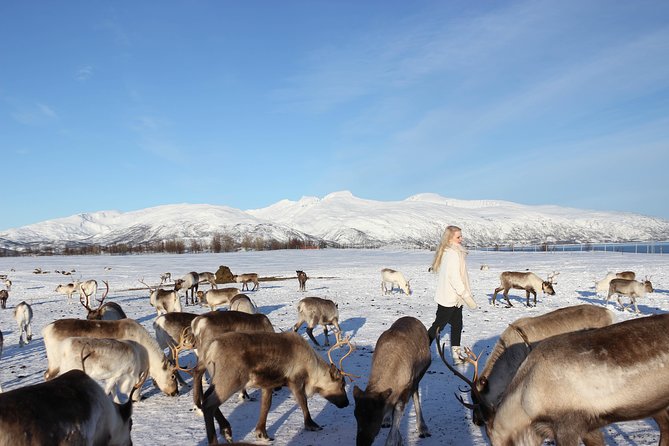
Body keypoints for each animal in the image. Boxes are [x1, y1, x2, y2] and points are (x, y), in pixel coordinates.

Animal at [192, 331, 352, 444]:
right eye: (342, 384)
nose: (347, 403)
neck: (312, 369)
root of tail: (210, 349)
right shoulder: (295, 381)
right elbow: (303, 402)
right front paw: (311, 424)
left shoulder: (268, 384)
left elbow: (266, 406)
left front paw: (262, 433)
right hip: (230, 380)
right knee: (209, 404)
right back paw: (218, 437)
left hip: (218, 381)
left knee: (206, 397)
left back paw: (226, 431)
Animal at [353, 316, 431, 446]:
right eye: (356, 415)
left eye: (375, 416)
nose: (362, 442)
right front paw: (399, 439)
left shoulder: (407, 386)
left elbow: (398, 410)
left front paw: (393, 441)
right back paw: (387, 420)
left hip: (419, 374)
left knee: (415, 393)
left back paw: (423, 428)